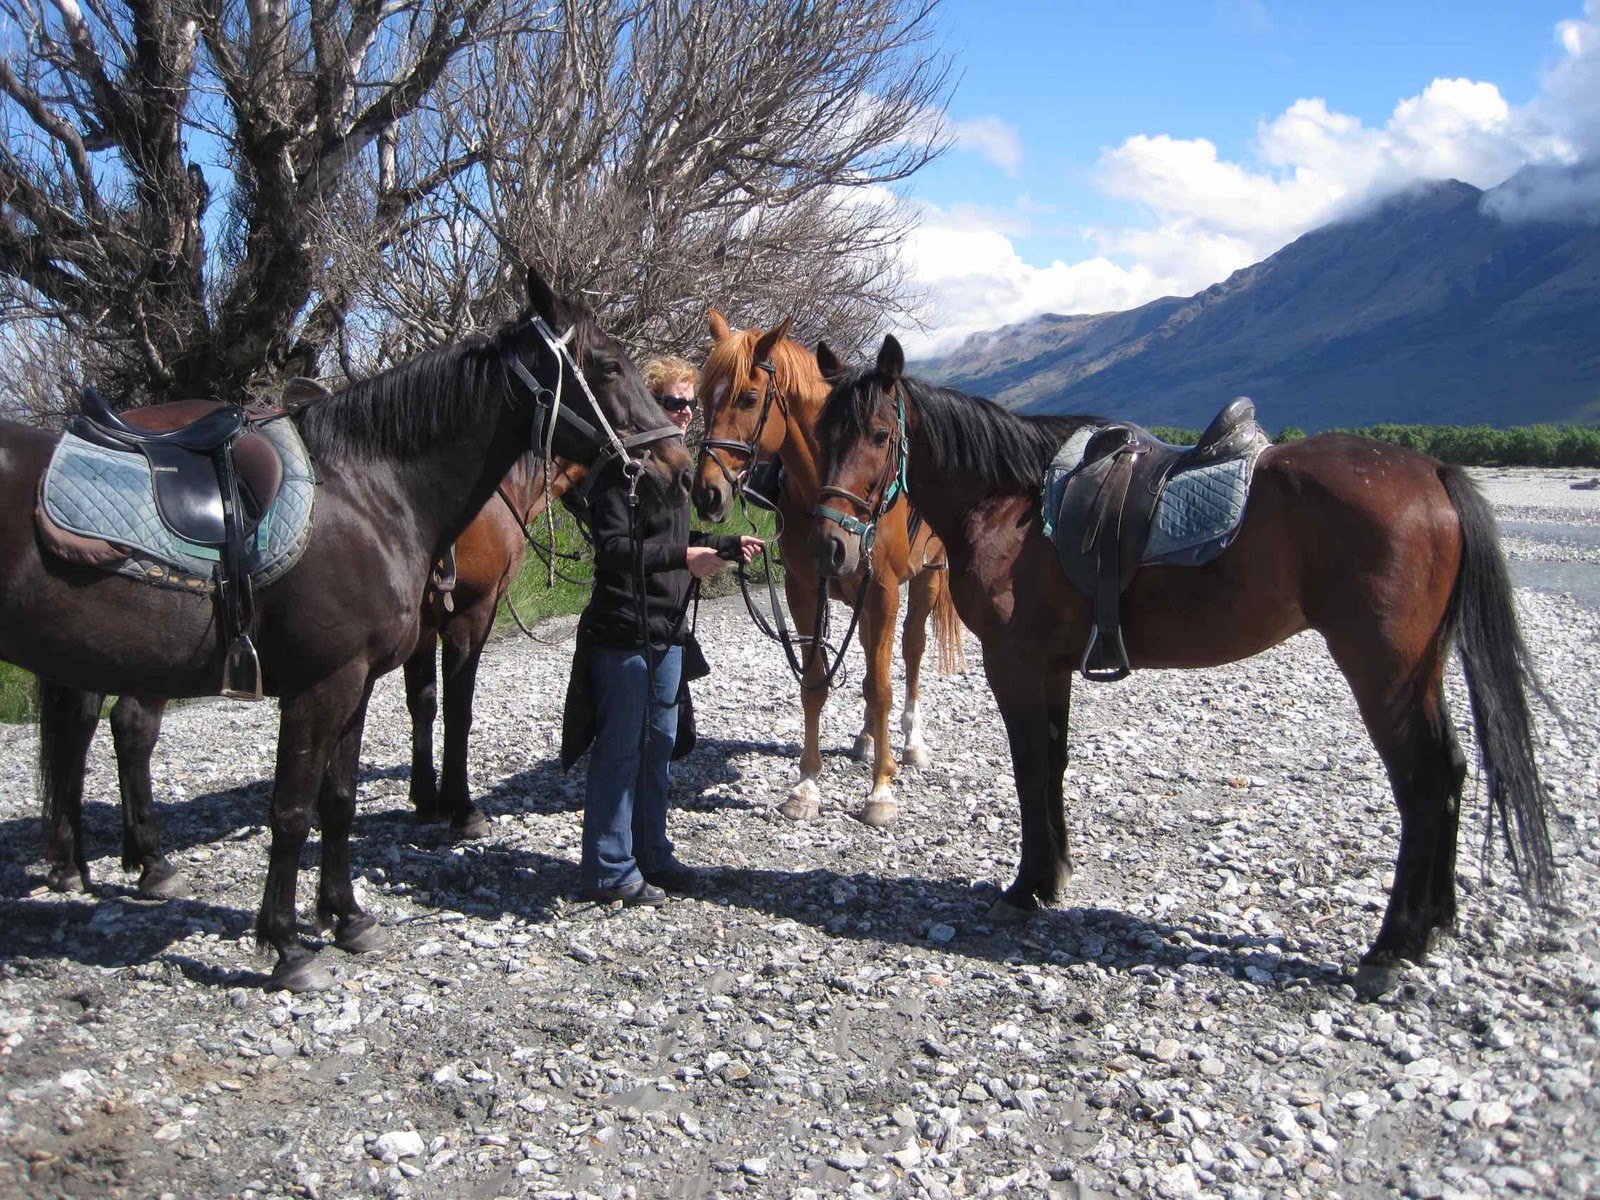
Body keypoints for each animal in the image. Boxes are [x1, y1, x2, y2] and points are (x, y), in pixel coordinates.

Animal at [35, 453, 585, 900]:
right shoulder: (470, 615)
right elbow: (457, 710)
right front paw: (460, 807)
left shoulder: (423, 625)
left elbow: (423, 704)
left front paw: (425, 798)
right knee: (130, 727)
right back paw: (151, 862)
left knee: (78, 730)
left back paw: (75, 860)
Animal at [693, 312, 962, 826]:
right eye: (700, 396)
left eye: (749, 398)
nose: (706, 493)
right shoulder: (804, 589)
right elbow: (815, 683)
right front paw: (806, 786)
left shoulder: (883, 590)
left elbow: (882, 687)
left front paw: (880, 792)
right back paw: (868, 738)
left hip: (927, 577)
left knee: (911, 652)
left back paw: (910, 743)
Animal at [809, 335, 1559, 992]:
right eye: (820, 436)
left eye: (879, 435)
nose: (833, 551)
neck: (1011, 504)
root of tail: (1432, 471)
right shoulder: (1049, 668)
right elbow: (1051, 766)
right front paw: (1051, 879)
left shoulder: (1015, 662)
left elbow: (1030, 771)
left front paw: (1026, 887)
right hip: (1418, 672)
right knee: (1450, 773)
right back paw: (1433, 924)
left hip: (1383, 671)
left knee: (1422, 782)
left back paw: (1394, 944)